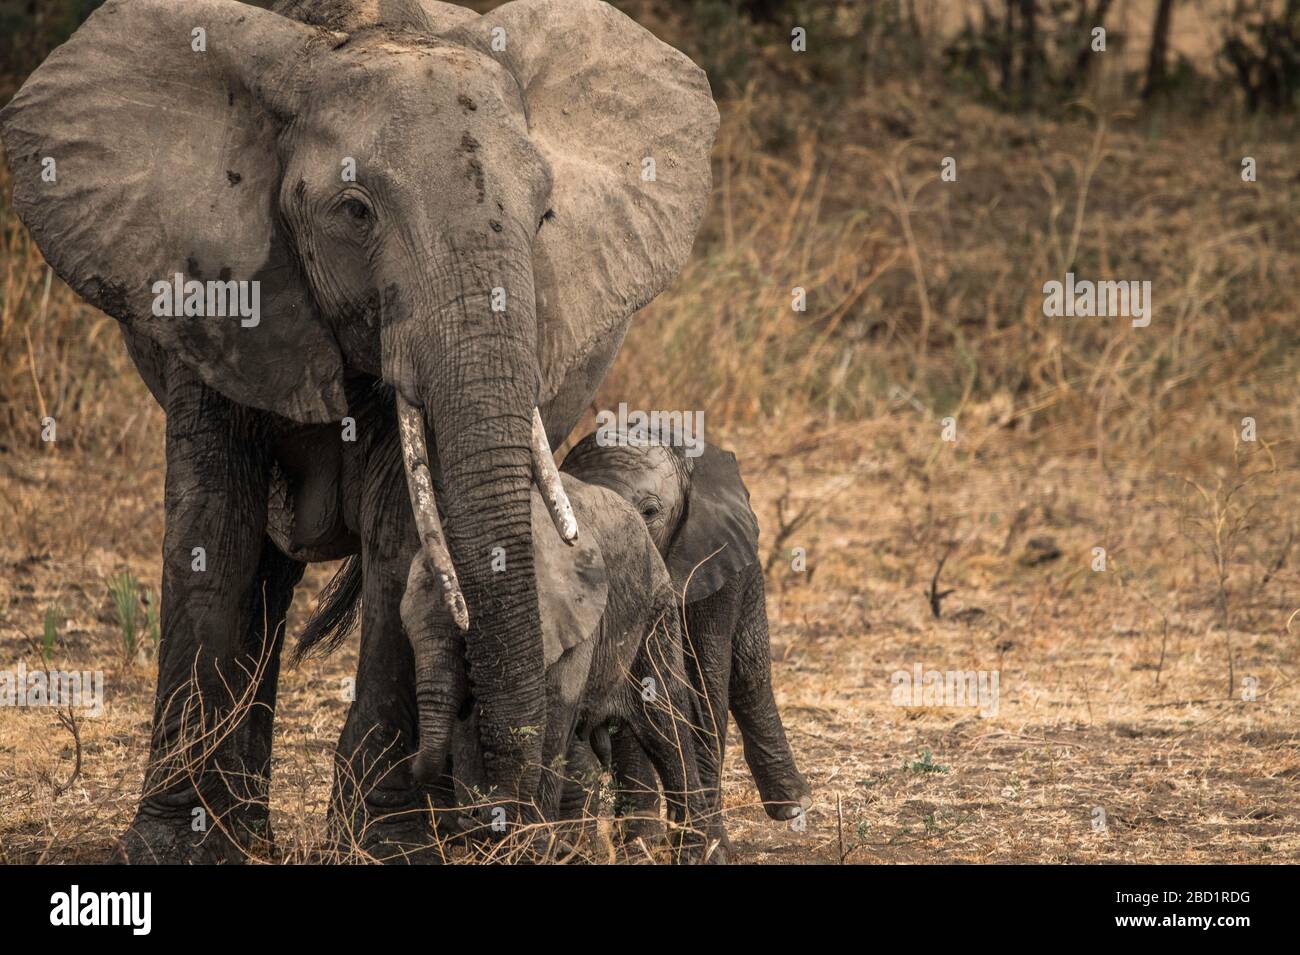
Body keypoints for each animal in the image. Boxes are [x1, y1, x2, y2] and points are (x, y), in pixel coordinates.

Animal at [399, 474, 719, 862]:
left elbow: (553, 715)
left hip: (653, 606)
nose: (465, 819)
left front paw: (530, 846)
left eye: (465, 638)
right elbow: (470, 733)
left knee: (664, 725)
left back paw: (696, 851)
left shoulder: (573, 625)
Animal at [557, 432, 812, 853]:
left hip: (745, 568)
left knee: (749, 674)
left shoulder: (710, 566)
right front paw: (641, 844)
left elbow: (702, 686)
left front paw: (709, 844)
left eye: (649, 511)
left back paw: (793, 806)